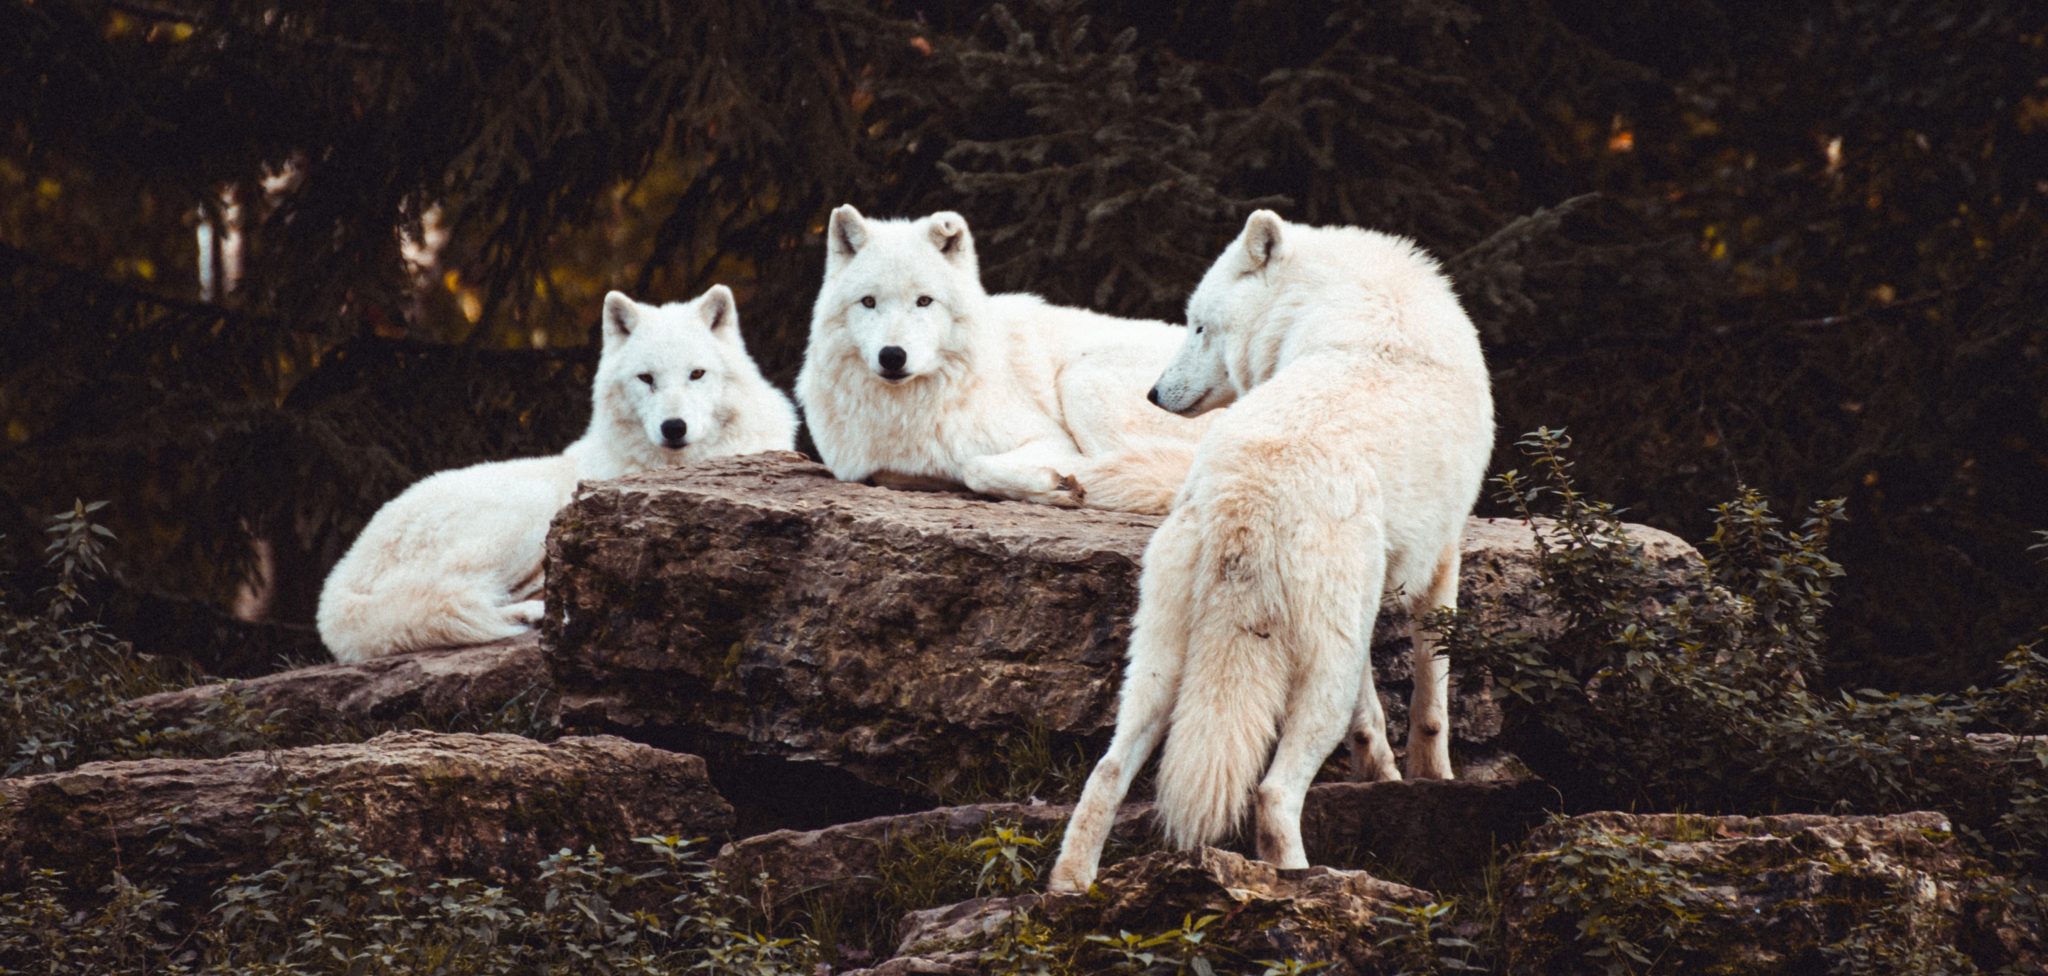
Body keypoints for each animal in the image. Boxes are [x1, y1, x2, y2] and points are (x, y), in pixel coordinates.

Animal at [316, 285, 797, 663]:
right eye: (646, 379)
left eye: (697, 374)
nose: (673, 428)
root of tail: (335, 589)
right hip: (525, 519)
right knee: (458, 597)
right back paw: (530, 615)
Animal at [795, 205, 1212, 514]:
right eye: (868, 302)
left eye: (924, 301)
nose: (892, 356)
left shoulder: (1049, 439)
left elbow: (973, 467)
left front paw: (1057, 483)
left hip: (1082, 380)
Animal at [1047, 211, 1495, 891]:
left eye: (1198, 326)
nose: (1153, 394)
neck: (1343, 302)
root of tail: (1249, 494)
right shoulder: (1440, 556)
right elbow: (1430, 697)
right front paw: (1430, 776)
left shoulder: (1364, 606)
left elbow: (1373, 711)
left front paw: (1382, 774)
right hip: (1317, 679)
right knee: (1273, 793)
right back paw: (1302, 881)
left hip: (1159, 663)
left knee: (1107, 771)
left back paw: (1068, 889)